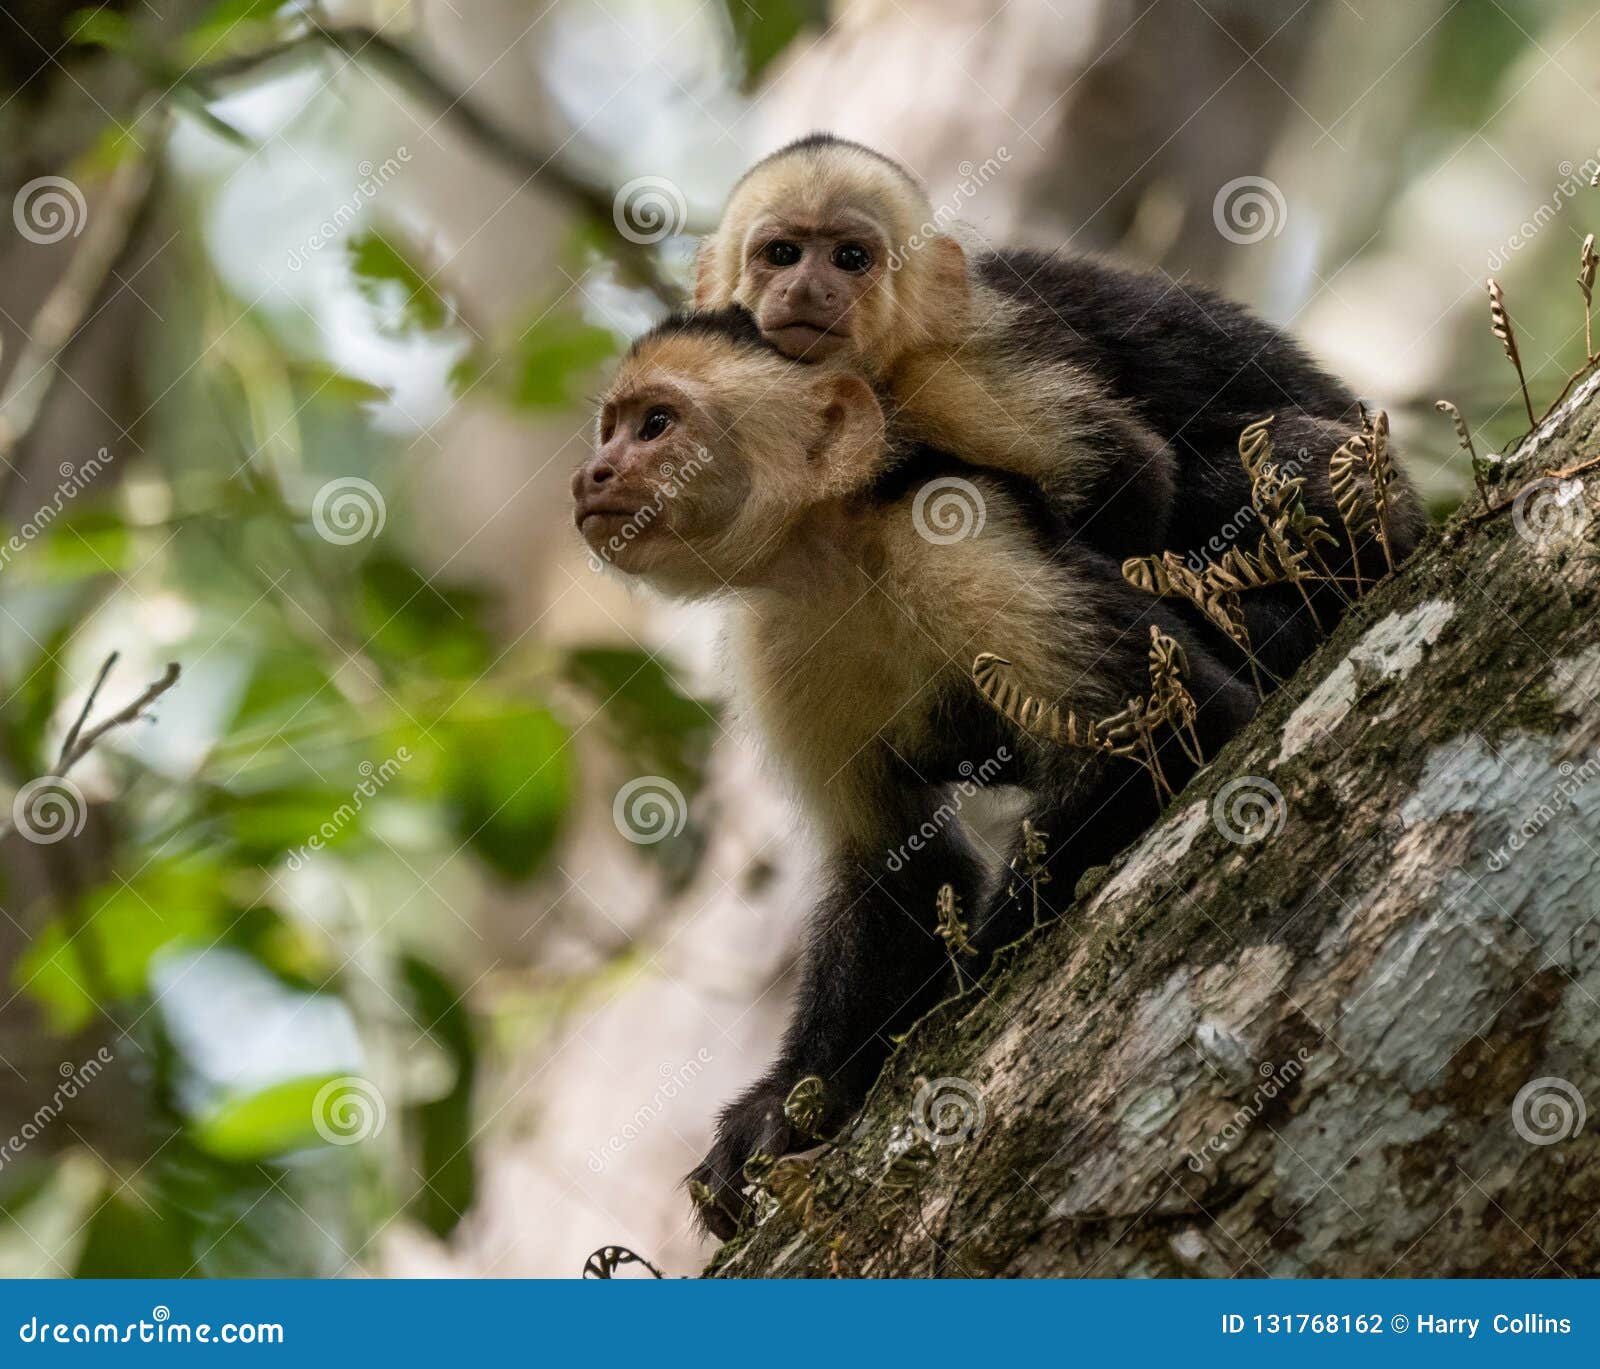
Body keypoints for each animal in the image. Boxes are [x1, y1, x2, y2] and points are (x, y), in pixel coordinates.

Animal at [574, 306, 1263, 1239]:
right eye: (610, 429)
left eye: (655, 425)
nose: (592, 473)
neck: (835, 544)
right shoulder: (779, 639)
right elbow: (895, 862)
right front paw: (782, 1105)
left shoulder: (953, 530)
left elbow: (1170, 723)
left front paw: (977, 970)